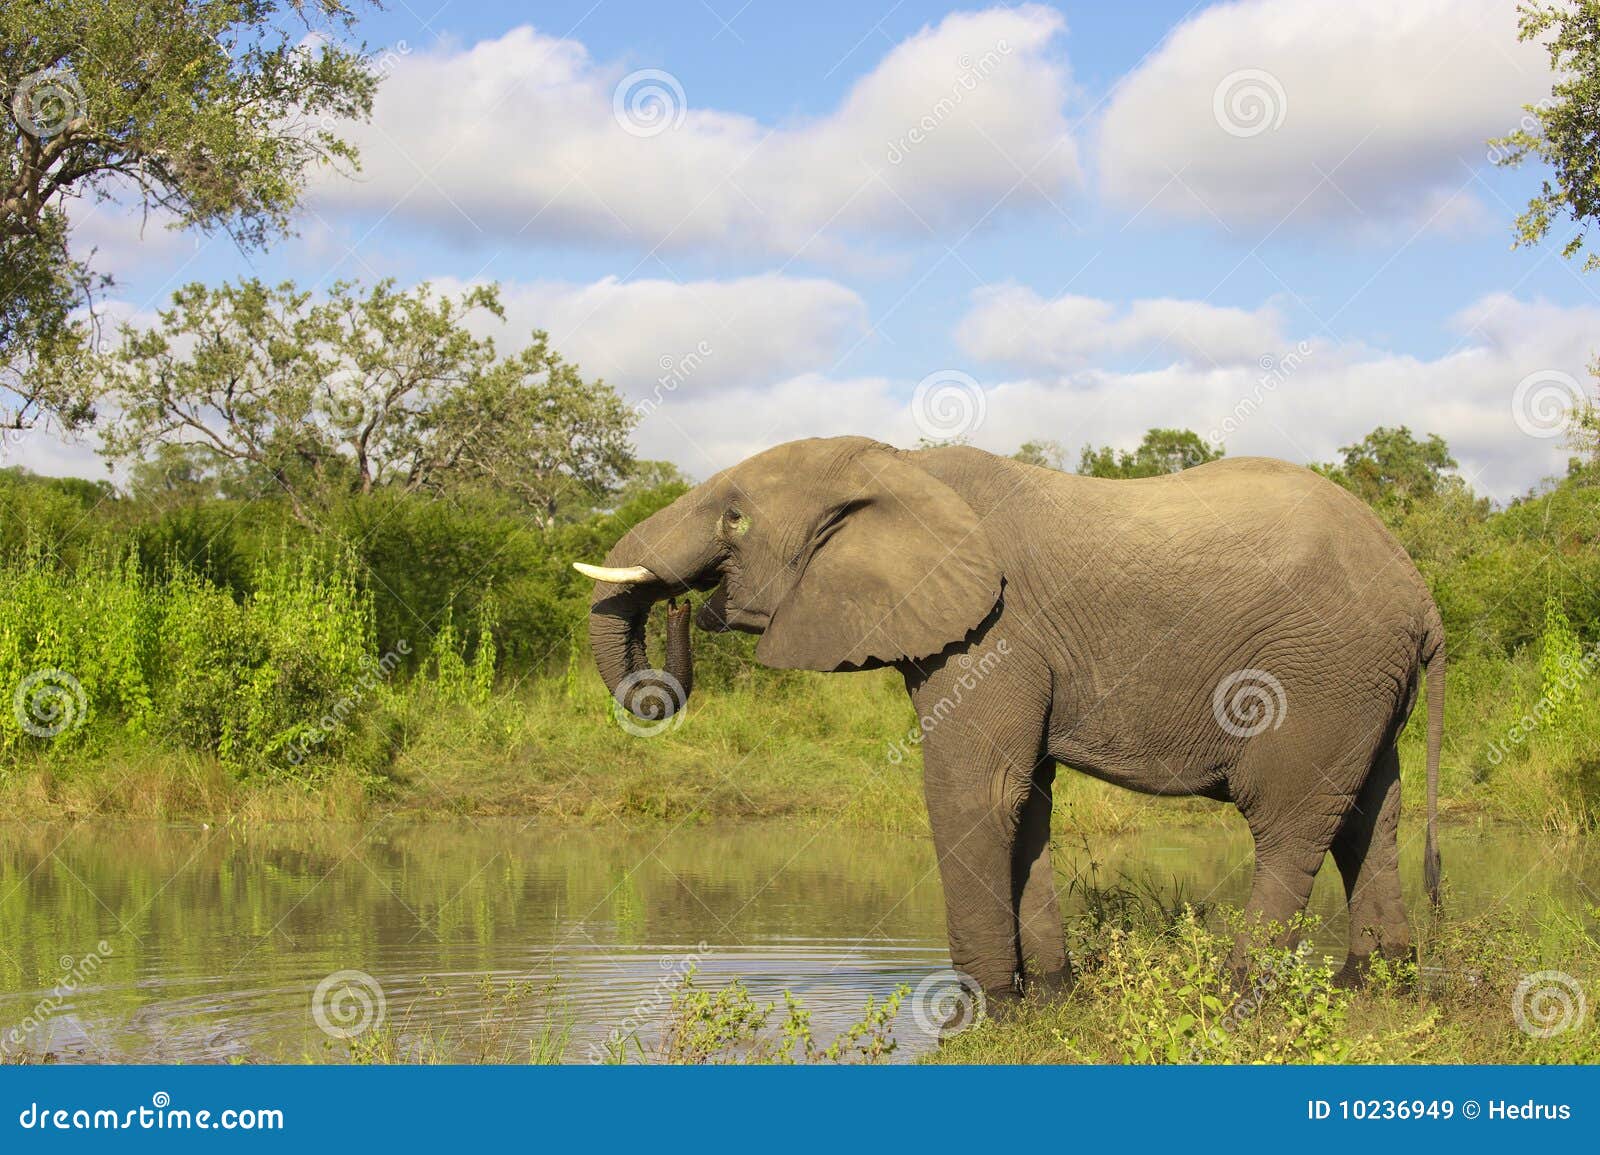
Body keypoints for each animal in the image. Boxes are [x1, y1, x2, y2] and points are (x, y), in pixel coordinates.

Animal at [575, 436, 1444, 1012]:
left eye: (735, 520)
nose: (683, 607)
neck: (897, 460)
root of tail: (1421, 591)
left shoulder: (994, 632)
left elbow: (975, 792)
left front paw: (981, 1007)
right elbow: (1024, 802)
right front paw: (1050, 997)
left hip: (1323, 673)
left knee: (1290, 819)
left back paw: (1236, 998)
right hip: (1365, 684)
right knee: (1371, 813)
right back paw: (1377, 982)